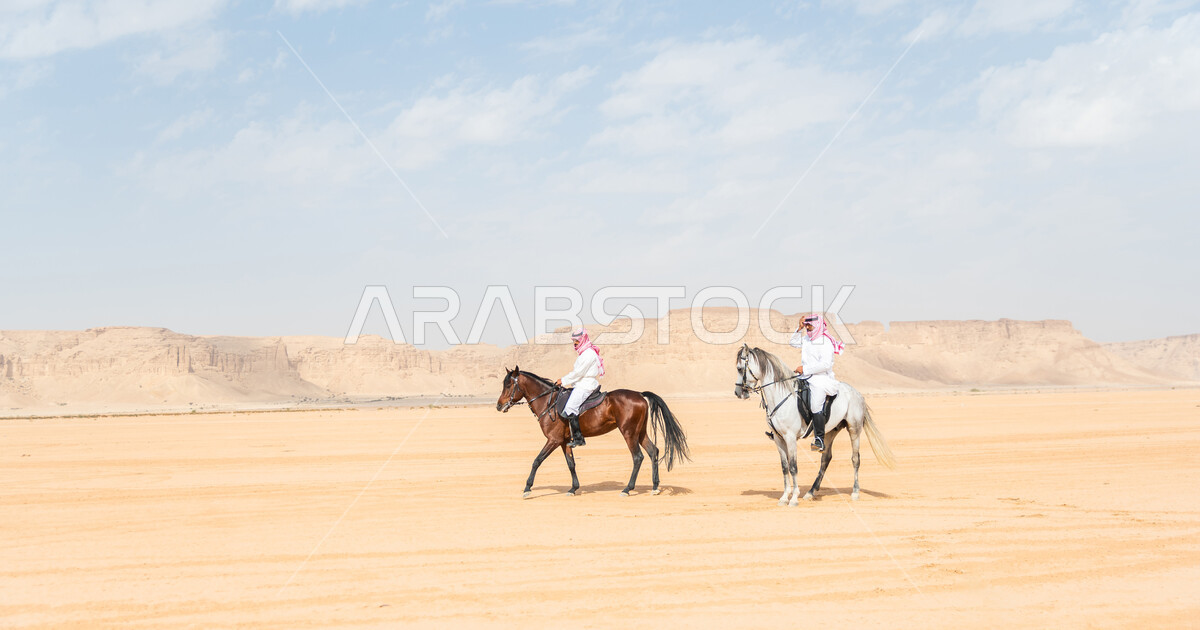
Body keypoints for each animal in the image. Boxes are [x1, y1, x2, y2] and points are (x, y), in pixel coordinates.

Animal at [495, 366, 689, 498]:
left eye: (508, 385)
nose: (498, 405)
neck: (548, 402)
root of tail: (640, 395)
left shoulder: (553, 440)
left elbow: (537, 461)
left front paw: (527, 488)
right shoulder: (564, 442)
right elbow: (571, 464)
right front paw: (573, 488)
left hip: (629, 433)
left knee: (638, 457)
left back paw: (627, 489)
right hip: (639, 433)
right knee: (653, 451)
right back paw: (655, 486)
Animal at [734, 344, 895, 506]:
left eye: (740, 369)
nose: (738, 392)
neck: (782, 396)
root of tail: (858, 394)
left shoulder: (790, 438)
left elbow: (793, 467)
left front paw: (793, 498)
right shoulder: (779, 439)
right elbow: (784, 467)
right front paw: (784, 497)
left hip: (854, 430)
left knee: (855, 459)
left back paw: (855, 492)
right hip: (830, 431)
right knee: (826, 459)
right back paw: (811, 492)